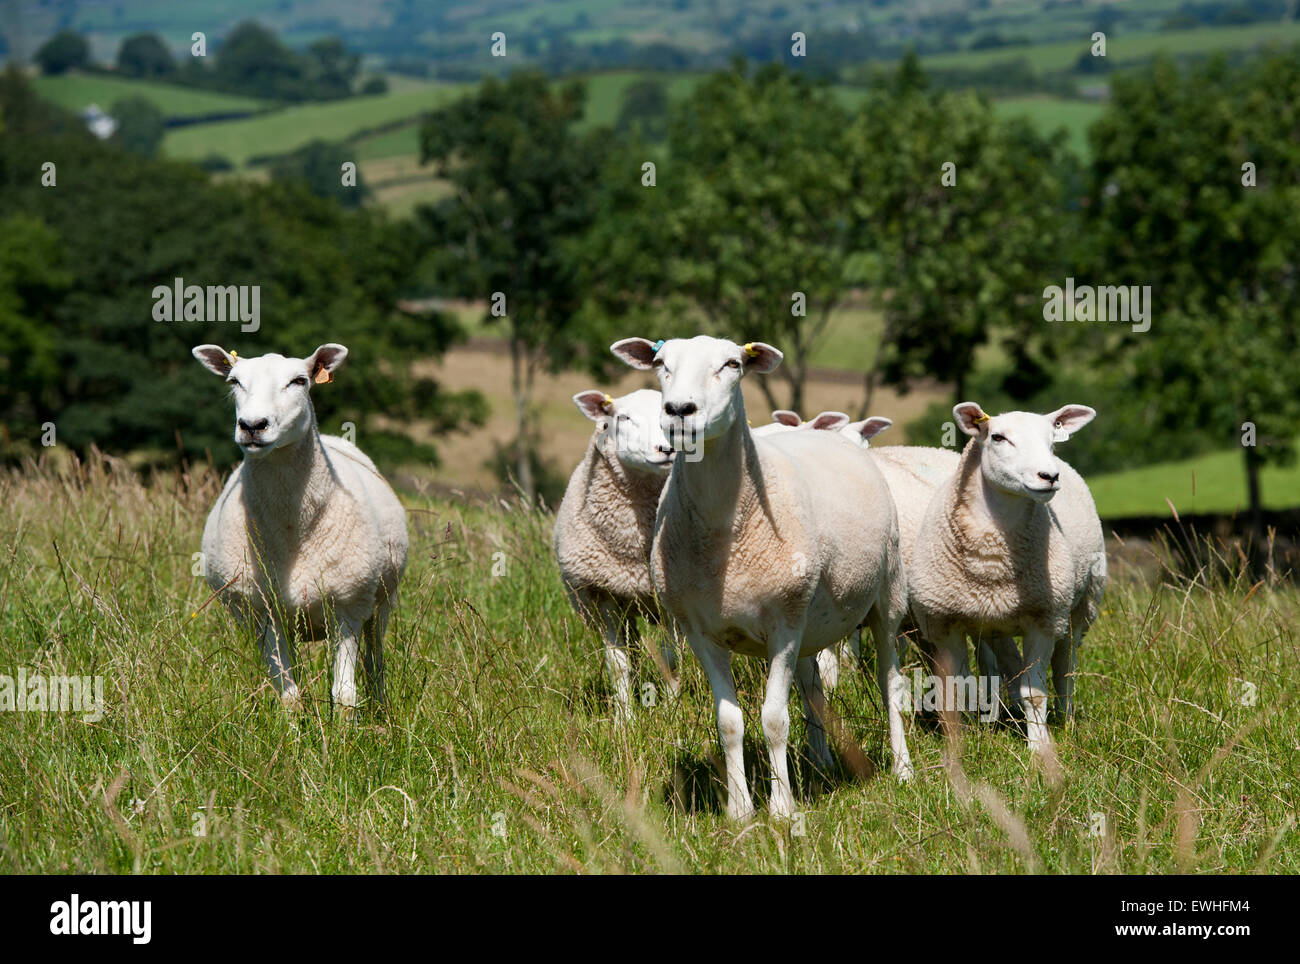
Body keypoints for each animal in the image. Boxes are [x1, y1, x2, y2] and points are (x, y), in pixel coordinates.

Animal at [192, 344, 408, 710]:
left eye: (299, 381)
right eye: (234, 381)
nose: (252, 425)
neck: (292, 529)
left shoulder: (349, 607)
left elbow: (345, 695)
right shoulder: (264, 614)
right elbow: (289, 696)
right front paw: (294, 725)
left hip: (381, 601)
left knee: (375, 661)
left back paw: (380, 706)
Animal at [553, 388, 678, 722]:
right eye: (624, 418)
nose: (667, 448)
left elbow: (670, 659)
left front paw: (672, 712)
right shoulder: (605, 596)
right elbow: (619, 664)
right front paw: (625, 719)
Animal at [612, 335, 912, 820]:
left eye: (732, 364)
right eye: (660, 363)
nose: (679, 410)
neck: (724, 533)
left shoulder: (783, 626)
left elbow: (774, 719)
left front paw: (783, 809)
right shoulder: (701, 630)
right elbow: (729, 722)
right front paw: (739, 810)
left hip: (887, 593)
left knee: (890, 683)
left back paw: (903, 768)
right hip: (810, 618)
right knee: (813, 688)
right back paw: (821, 761)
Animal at [907, 402, 1106, 752]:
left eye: (1052, 440)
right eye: (997, 437)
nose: (1050, 476)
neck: (991, 561)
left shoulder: (1043, 620)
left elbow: (1035, 692)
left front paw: (1039, 747)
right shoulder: (944, 623)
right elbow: (956, 690)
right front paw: (961, 745)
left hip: (1080, 604)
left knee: (1065, 665)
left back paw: (1065, 718)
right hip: (994, 621)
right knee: (1008, 660)